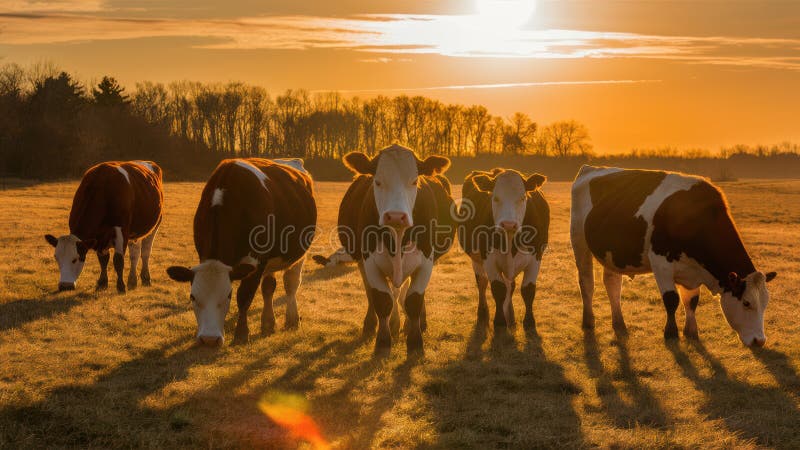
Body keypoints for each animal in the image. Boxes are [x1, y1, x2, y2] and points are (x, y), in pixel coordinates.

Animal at [45, 160, 163, 293]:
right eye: (56, 258)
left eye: (75, 259)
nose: (65, 286)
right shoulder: (100, 237)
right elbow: (103, 259)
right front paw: (102, 283)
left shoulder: (122, 229)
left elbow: (118, 260)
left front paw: (121, 286)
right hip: (133, 233)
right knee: (135, 254)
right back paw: (132, 281)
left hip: (154, 226)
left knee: (146, 252)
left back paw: (146, 278)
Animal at [166, 158, 316, 346]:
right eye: (192, 297)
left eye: (228, 296)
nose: (209, 340)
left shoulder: (256, 260)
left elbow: (244, 295)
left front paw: (241, 334)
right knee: (269, 287)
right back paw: (268, 323)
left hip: (298, 254)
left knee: (291, 283)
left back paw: (292, 320)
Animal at [337, 144, 456, 354]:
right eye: (377, 182)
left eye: (415, 181)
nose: (395, 216)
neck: (398, 237)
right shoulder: (369, 261)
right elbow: (382, 299)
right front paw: (383, 341)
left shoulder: (426, 261)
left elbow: (414, 299)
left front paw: (415, 342)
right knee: (378, 293)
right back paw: (379, 324)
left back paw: (414, 324)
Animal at [458, 168, 549, 330]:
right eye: (495, 198)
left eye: (523, 198)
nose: (508, 224)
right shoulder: (488, 258)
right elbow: (498, 288)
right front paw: (500, 321)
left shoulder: (536, 257)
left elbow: (528, 289)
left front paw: (529, 321)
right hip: (476, 259)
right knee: (482, 283)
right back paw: (483, 312)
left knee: (510, 285)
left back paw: (510, 316)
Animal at [570, 165, 777, 347]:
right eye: (747, 303)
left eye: (766, 303)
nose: (759, 341)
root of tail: (590, 169)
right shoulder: (661, 262)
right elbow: (671, 299)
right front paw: (671, 333)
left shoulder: (691, 269)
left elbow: (691, 301)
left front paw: (691, 332)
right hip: (579, 241)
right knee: (586, 282)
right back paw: (588, 321)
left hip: (611, 254)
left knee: (612, 284)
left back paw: (619, 324)